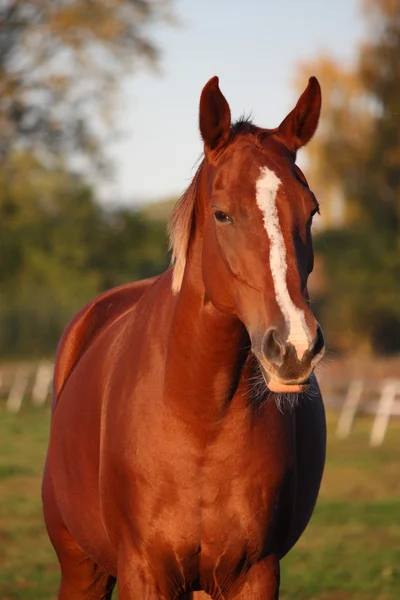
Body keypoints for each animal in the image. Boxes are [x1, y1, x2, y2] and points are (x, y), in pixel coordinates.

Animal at [42, 76, 326, 600]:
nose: (295, 347)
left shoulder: (255, 574)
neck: (200, 419)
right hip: (82, 568)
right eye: (222, 214)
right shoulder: (144, 574)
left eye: (312, 212)